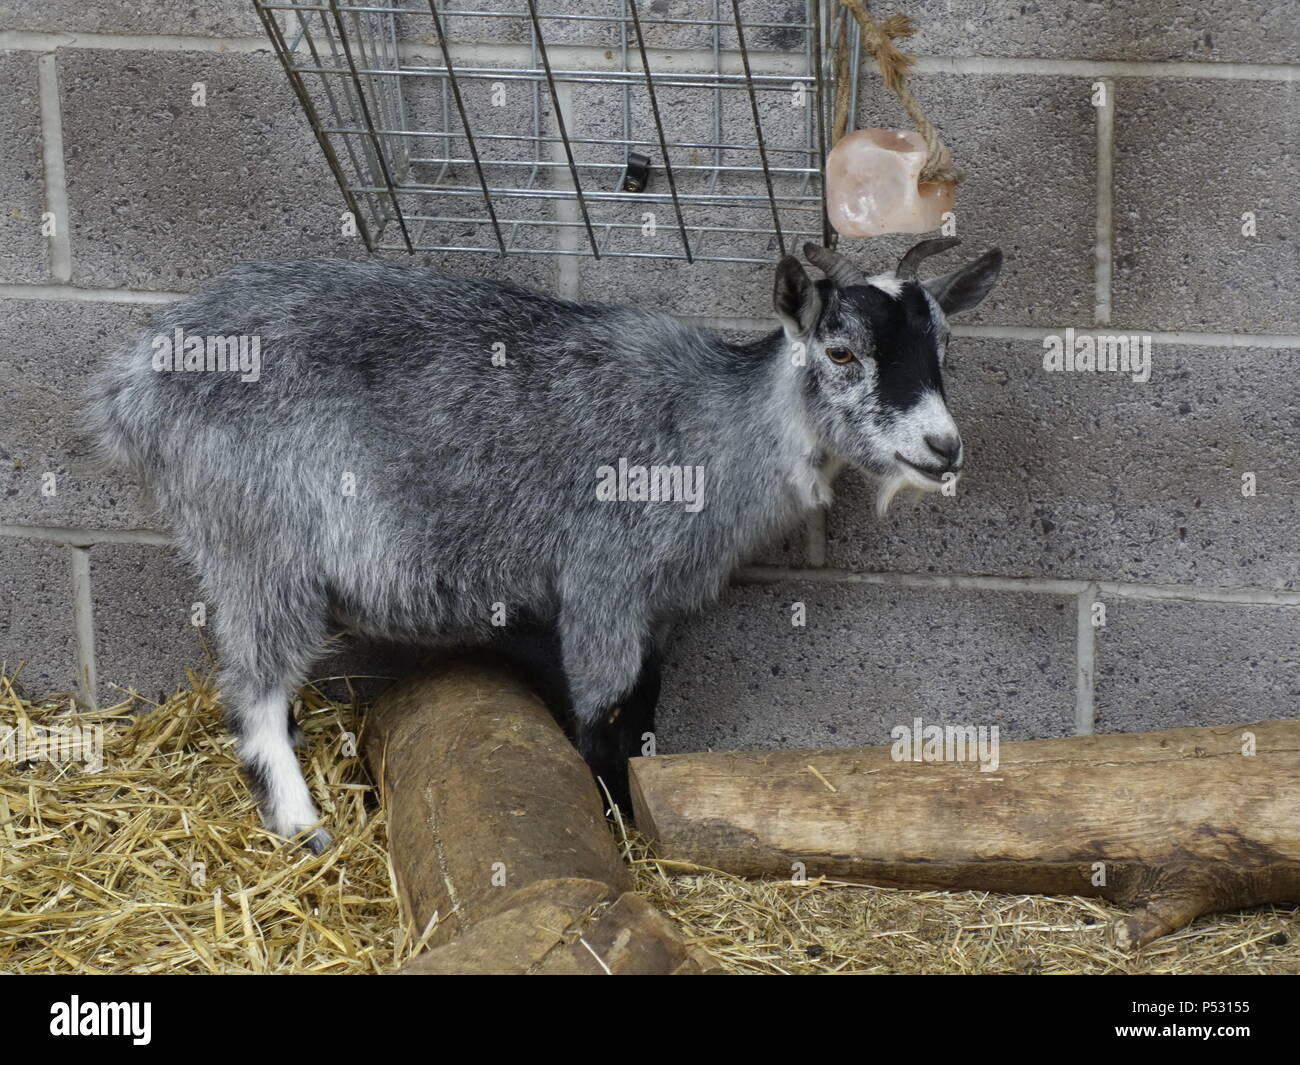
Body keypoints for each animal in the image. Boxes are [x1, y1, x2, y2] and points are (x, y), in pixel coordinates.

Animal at [88, 239, 1002, 851]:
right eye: (841, 351)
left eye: (945, 347)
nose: (943, 447)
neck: (710, 427)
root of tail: (130, 382)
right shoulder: (604, 581)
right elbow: (603, 709)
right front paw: (615, 825)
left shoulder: (655, 606)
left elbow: (647, 704)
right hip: (256, 540)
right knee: (252, 685)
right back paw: (300, 822)